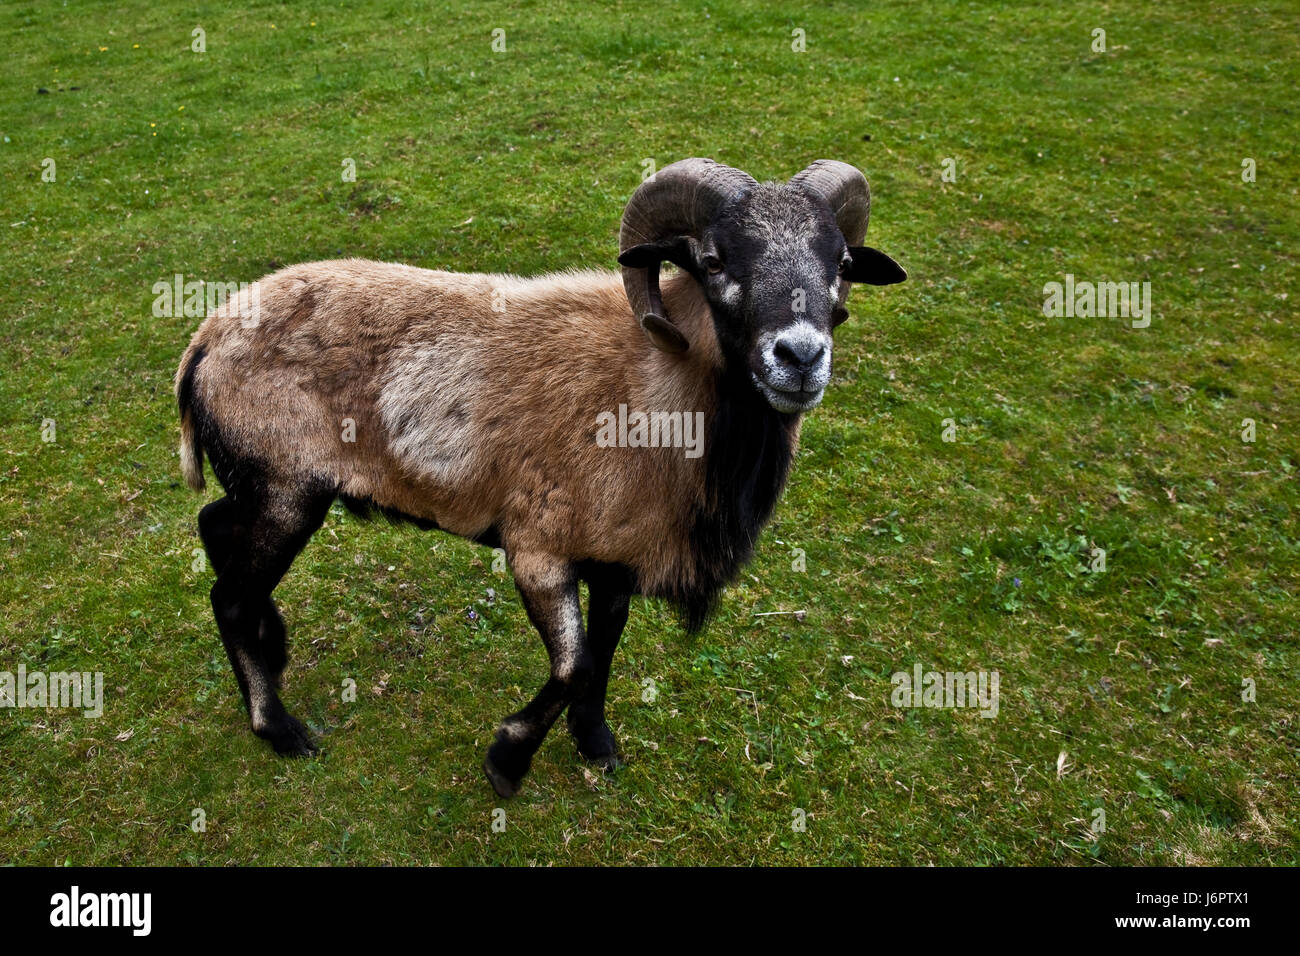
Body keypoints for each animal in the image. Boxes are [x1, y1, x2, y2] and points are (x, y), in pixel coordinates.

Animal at [174, 158, 905, 797]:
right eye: (715, 261)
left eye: (841, 265)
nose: (801, 357)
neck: (655, 389)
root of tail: (207, 336)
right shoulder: (537, 550)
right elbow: (573, 664)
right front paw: (507, 760)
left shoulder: (616, 559)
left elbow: (603, 654)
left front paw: (595, 743)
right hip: (285, 488)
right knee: (229, 593)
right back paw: (279, 728)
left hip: (273, 486)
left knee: (216, 527)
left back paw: (273, 646)